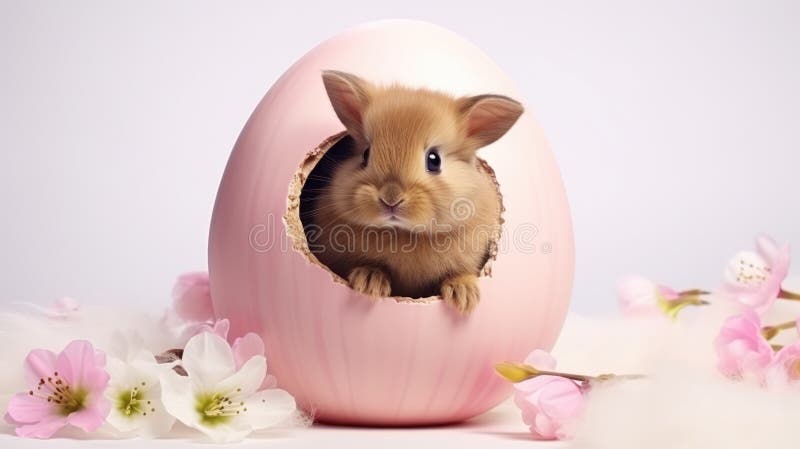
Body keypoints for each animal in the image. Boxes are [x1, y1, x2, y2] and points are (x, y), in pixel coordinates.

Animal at [304, 70, 523, 313]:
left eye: (434, 160)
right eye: (365, 154)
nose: (390, 198)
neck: (404, 233)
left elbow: (460, 272)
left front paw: (464, 295)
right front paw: (369, 281)